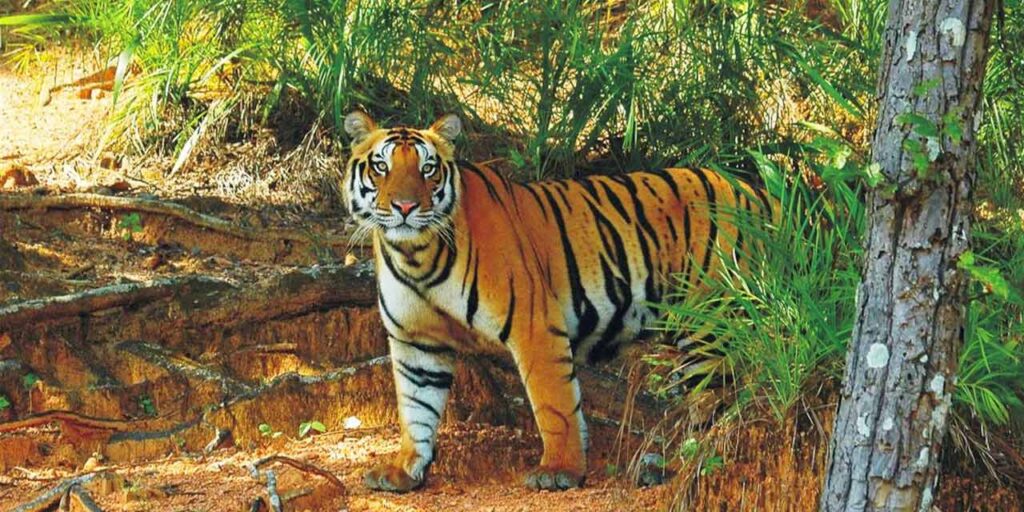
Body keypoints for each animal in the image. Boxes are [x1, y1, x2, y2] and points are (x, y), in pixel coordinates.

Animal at [341, 111, 773, 493]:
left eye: (428, 169)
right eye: (381, 167)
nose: (406, 207)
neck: (416, 255)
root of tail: (757, 194)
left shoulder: (534, 326)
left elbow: (554, 405)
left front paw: (559, 471)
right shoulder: (415, 343)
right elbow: (416, 409)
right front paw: (404, 471)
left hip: (711, 327)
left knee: (718, 408)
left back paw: (685, 466)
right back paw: (660, 465)